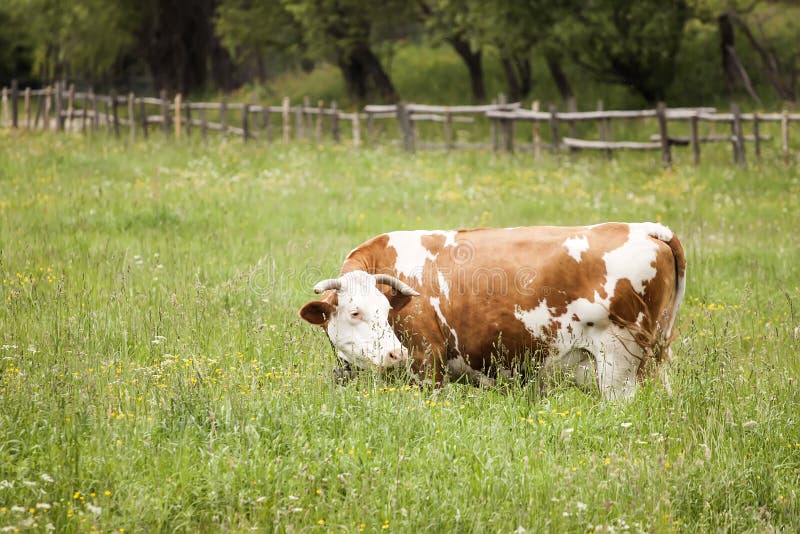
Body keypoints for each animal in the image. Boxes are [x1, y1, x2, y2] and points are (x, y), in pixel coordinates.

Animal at [299, 222, 686, 400]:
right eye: (355, 312)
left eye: (384, 308)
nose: (395, 353)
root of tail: (644, 228)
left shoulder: (428, 360)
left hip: (617, 367)